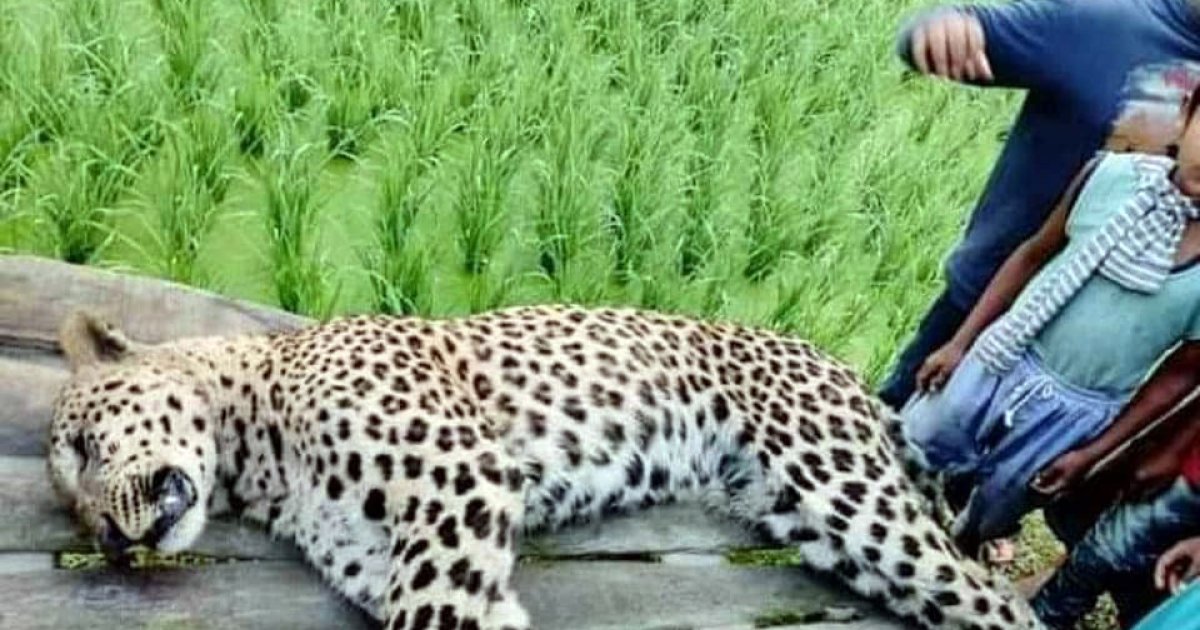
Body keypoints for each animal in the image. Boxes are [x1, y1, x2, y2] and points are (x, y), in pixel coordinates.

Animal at [46, 305, 1044, 630]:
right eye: (73, 513)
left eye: (87, 447)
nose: (113, 542)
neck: (257, 460)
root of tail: (831, 358)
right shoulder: (403, 553)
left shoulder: (457, 483)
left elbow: (432, 620)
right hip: (815, 524)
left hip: (851, 494)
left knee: (999, 602)